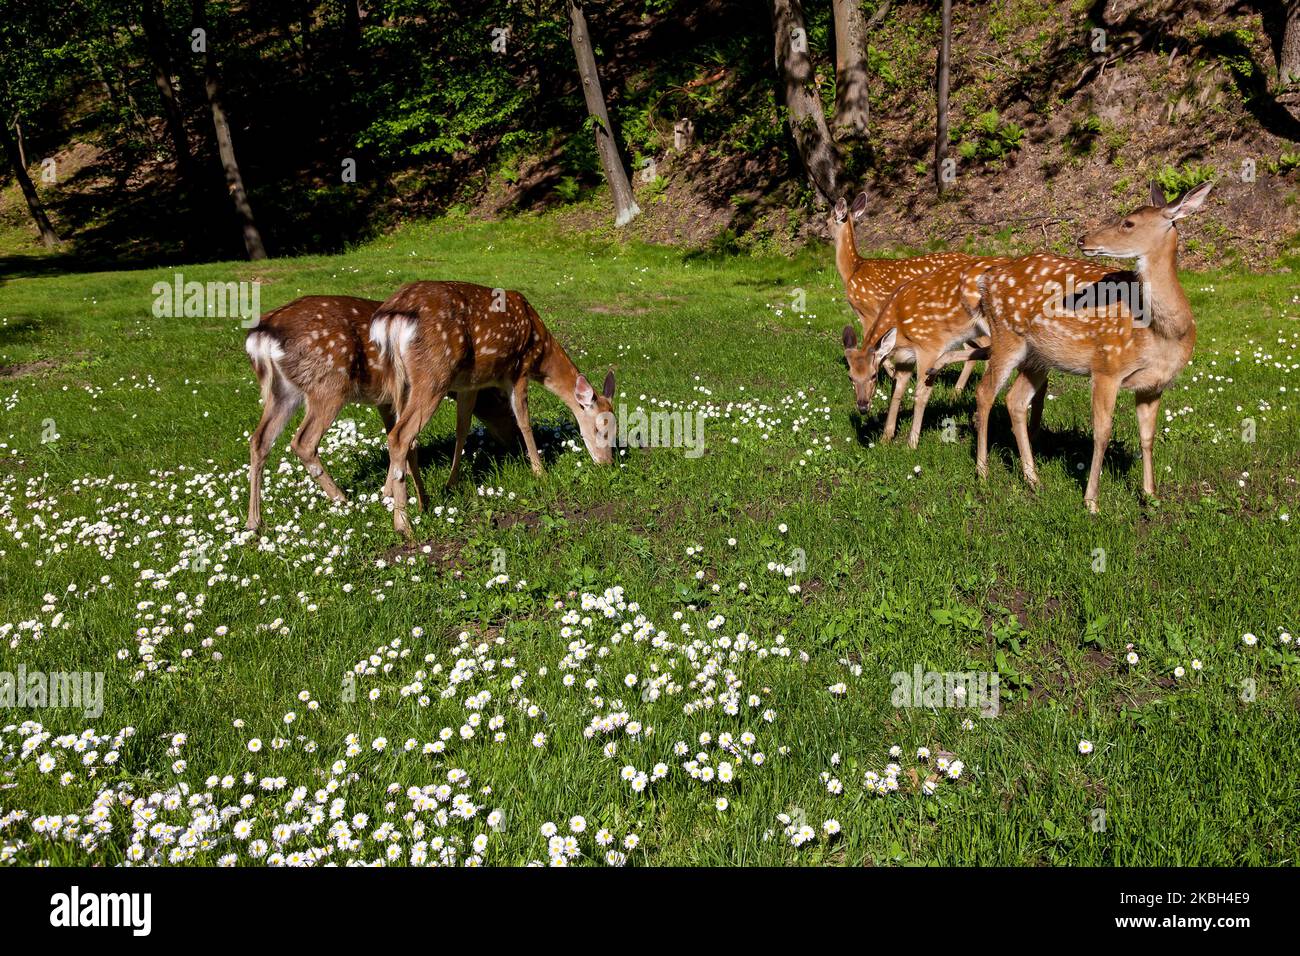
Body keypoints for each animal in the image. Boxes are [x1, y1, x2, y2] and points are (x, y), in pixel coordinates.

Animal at [243, 295, 520, 531]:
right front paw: (395, 494)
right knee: (303, 441)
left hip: (283, 392)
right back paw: (342, 500)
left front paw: (388, 491)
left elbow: (392, 435)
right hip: (329, 385)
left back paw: (254, 522)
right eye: (504, 405)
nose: (515, 442)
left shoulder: (385, 400)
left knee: (259, 440)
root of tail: (261, 334)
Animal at [369, 281, 617, 538]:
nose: (606, 463)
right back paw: (403, 525)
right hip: (434, 373)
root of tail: (391, 315)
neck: (540, 353)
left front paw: (451, 483)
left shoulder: (470, 384)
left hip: (400, 380)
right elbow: (524, 422)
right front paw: (540, 472)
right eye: (600, 429)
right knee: (400, 436)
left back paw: (422, 501)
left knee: (408, 438)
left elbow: (462, 429)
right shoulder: (519, 371)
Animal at [842, 256, 1047, 448]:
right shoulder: (905, 359)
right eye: (850, 377)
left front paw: (912, 443)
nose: (862, 406)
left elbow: (921, 394)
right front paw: (886, 437)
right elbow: (897, 391)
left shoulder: (928, 346)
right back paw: (1033, 433)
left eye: (873, 375)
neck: (900, 329)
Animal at [973, 180, 1214, 512]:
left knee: (1015, 400)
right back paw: (983, 472)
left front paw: (1150, 494)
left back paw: (1033, 479)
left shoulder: (1154, 384)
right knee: (985, 392)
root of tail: (988, 278)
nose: (1082, 238)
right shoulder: (1106, 367)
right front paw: (1091, 502)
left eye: (1128, 223)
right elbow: (1102, 434)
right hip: (1005, 336)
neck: (1163, 334)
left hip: (1039, 356)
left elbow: (1147, 437)